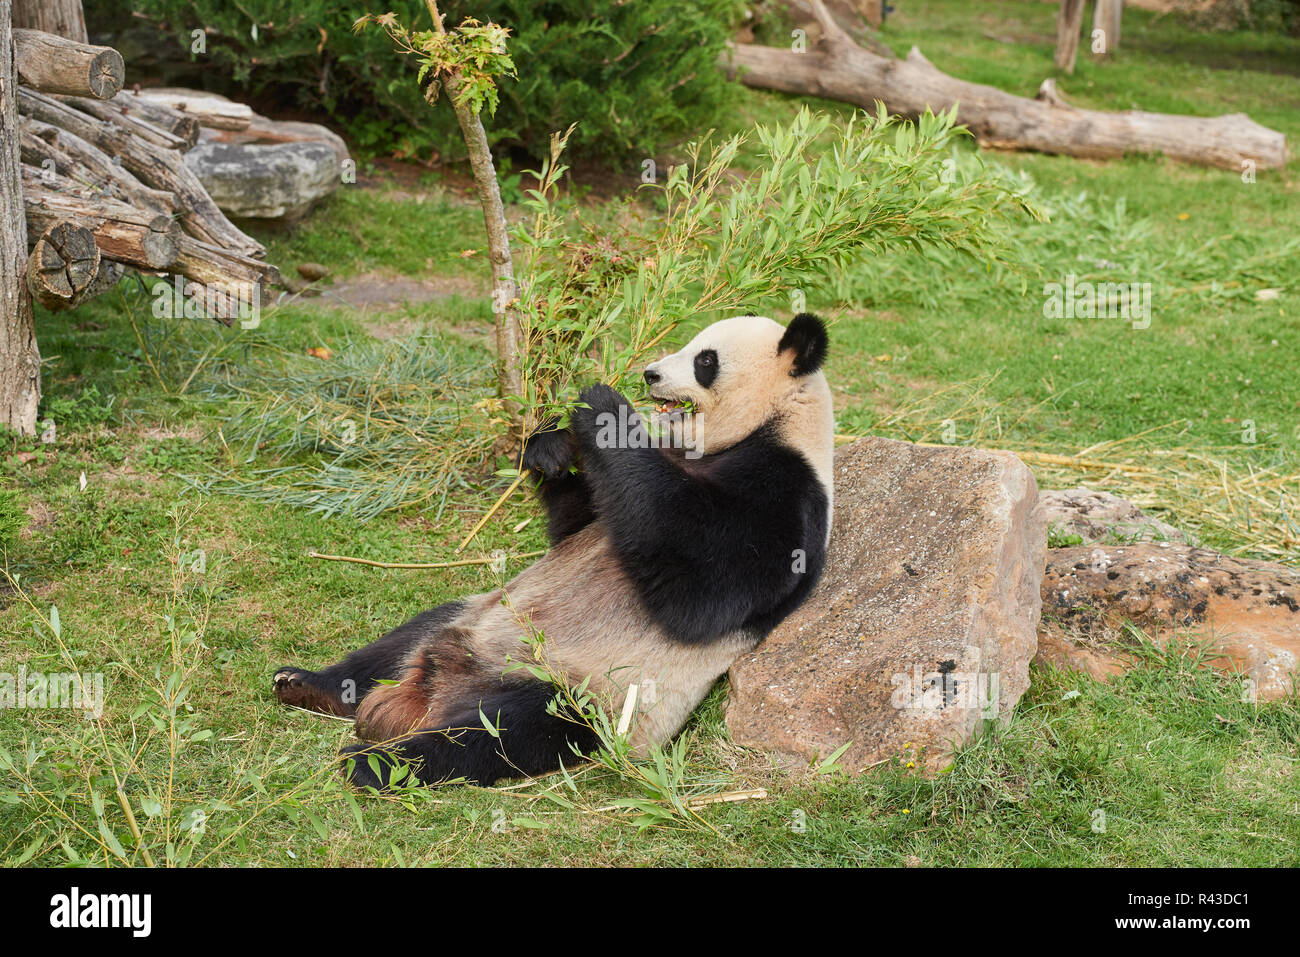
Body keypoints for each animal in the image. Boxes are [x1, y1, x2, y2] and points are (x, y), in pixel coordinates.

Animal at [273, 312, 834, 788]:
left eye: (706, 360)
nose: (649, 374)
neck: (765, 424)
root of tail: (428, 692)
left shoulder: (786, 492)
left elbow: (702, 591)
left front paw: (601, 407)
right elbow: (580, 525)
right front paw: (554, 446)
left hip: (580, 691)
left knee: (500, 735)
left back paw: (375, 762)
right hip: (475, 615)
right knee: (401, 641)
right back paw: (308, 685)